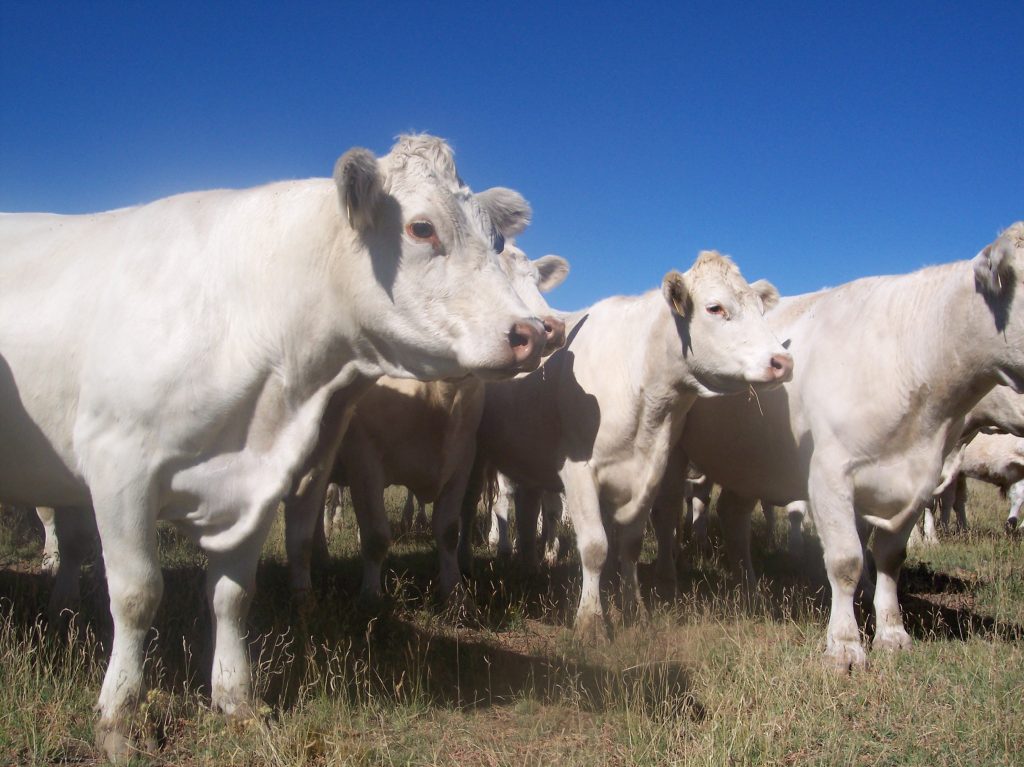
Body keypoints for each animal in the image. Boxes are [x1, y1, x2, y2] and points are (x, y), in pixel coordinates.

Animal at [283, 244, 569, 601]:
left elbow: (448, 528)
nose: (551, 328)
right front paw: (371, 595)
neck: (439, 396)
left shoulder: (465, 457)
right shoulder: (364, 458)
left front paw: (454, 589)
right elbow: (375, 534)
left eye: (535, 278)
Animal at [461, 249, 793, 636]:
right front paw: (591, 621)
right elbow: (595, 545)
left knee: (528, 506)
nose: (783, 362)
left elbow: (630, 544)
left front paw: (634, 609)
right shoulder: (577, 469)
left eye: (759, 307)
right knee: (469, 507)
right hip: (474, 454)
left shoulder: (651, 470)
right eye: (715, 308)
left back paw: (529, 565)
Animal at [653, 223, 1024, 670]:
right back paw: (670, 581)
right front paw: (845, 644)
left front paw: (892, 632)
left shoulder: (915, 482)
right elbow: (846, 559)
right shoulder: (830, 476)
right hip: (674, 453)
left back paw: (750, 589)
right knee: (668, 513)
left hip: (748, 460)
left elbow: (890, 557)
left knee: (733, 516)